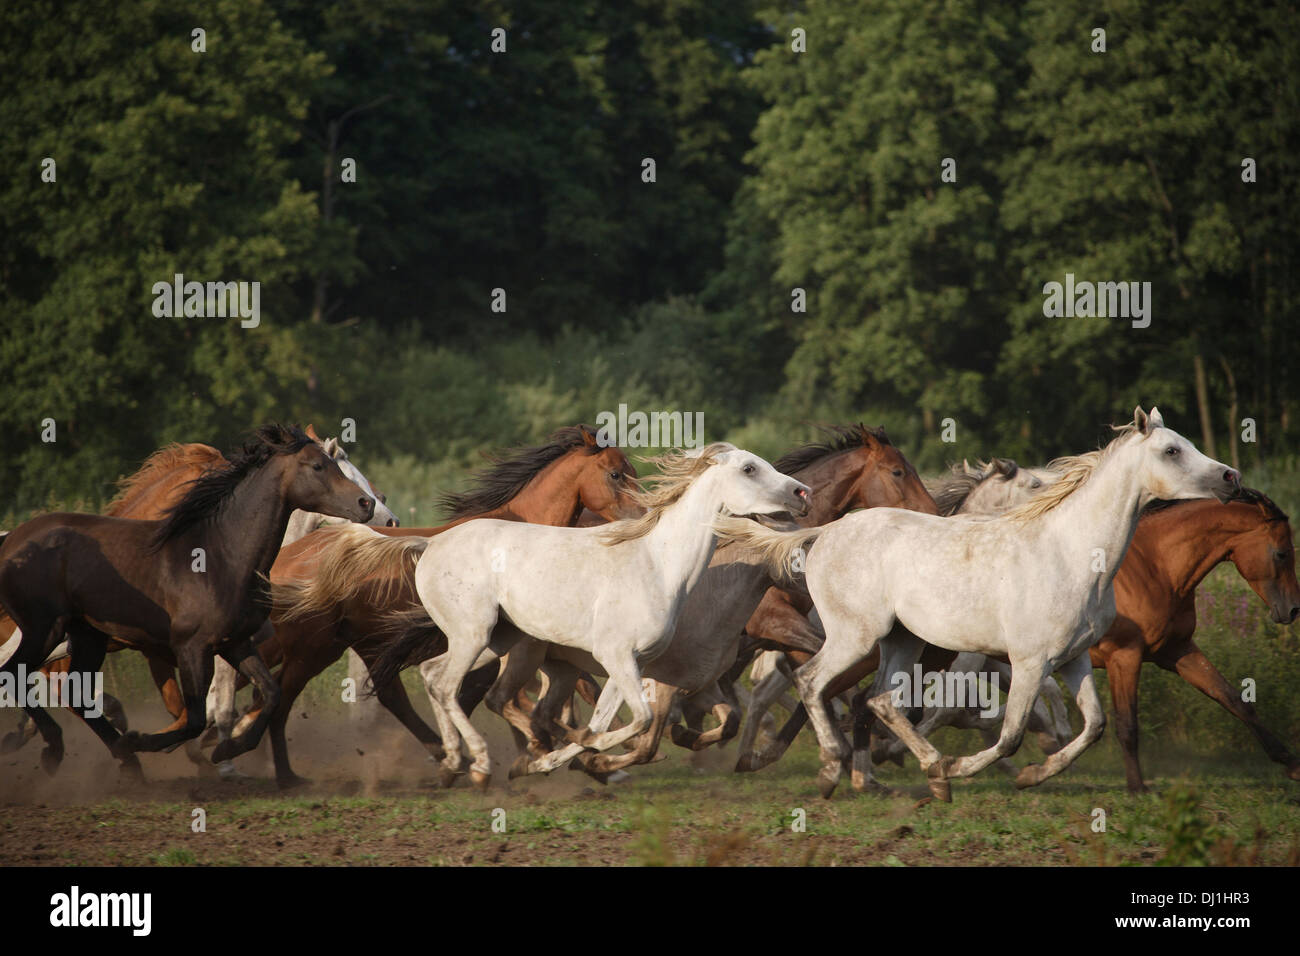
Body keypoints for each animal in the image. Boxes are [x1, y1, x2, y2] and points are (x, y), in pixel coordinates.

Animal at [0, 426, 396, 772]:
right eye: (319, 466)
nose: (375, 508)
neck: (222, 555)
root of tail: (14, 541)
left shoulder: (236, 643)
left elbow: (264, 695)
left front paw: (225, 749)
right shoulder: (193, 648)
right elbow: (201, 712)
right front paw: (203, 755)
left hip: (86, 637)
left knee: (70, 693)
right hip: (46, 631)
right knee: (15, 672)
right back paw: (59, 745)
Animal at [716, 407, 1240, 799]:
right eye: (1172, 450)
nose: (1231, 476)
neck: (1071, 552)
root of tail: (823, 532)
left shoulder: (1072, 660)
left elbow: (1093, 725)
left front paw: (1030, 771)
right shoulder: (1029, 662)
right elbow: (1009, 734)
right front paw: (982, 769)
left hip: (902, 642)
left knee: (879, 699)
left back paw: (926, 772)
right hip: (854, 638)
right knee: (812, 682)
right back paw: (831, 768)